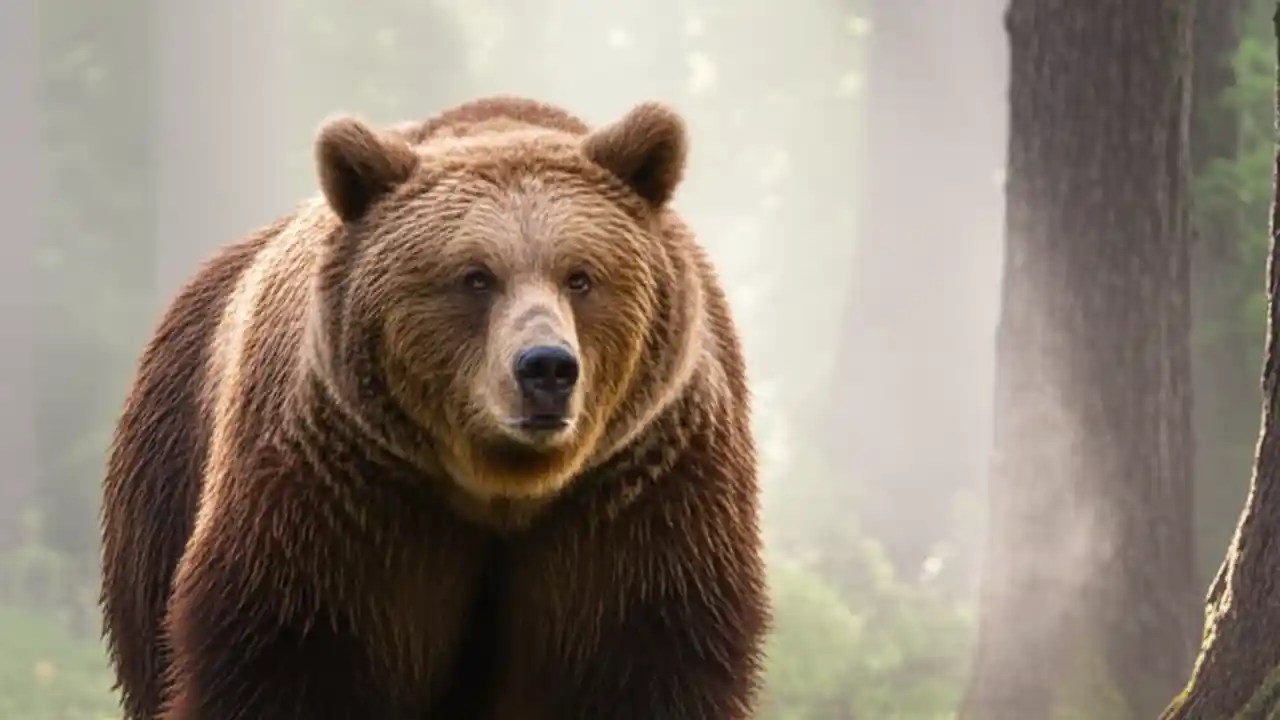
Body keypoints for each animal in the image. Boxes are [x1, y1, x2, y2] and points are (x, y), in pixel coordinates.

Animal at [99, 95, 769, 720]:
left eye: (581, 276)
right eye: (475, 276)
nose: (547, 368)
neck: (501, 487)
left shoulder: (639, 488)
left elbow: (641, 653)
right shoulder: (341, 493)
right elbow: (288, 653)